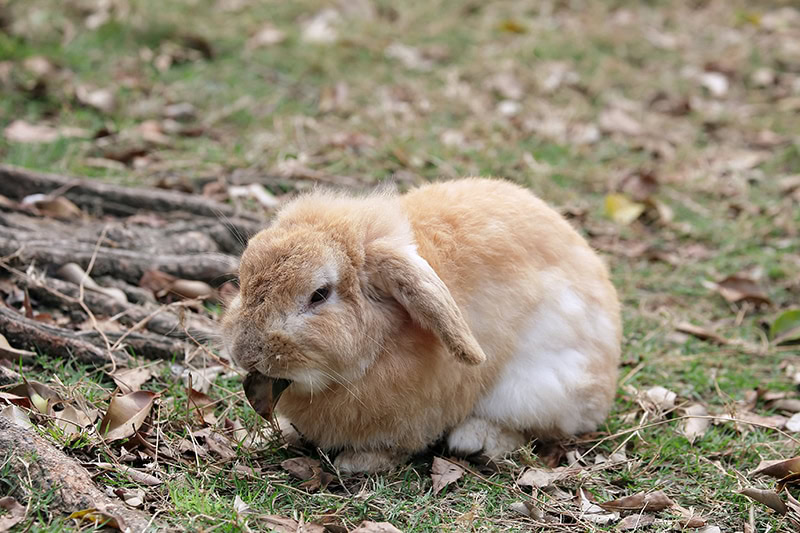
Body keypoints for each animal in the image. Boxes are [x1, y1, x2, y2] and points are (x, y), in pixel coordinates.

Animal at [221, 177, 621, 473]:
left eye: (319, 294)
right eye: (243, 279)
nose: (245, 352)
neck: (381, 345)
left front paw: (358, 461)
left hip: (538, 386)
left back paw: (475, 439)